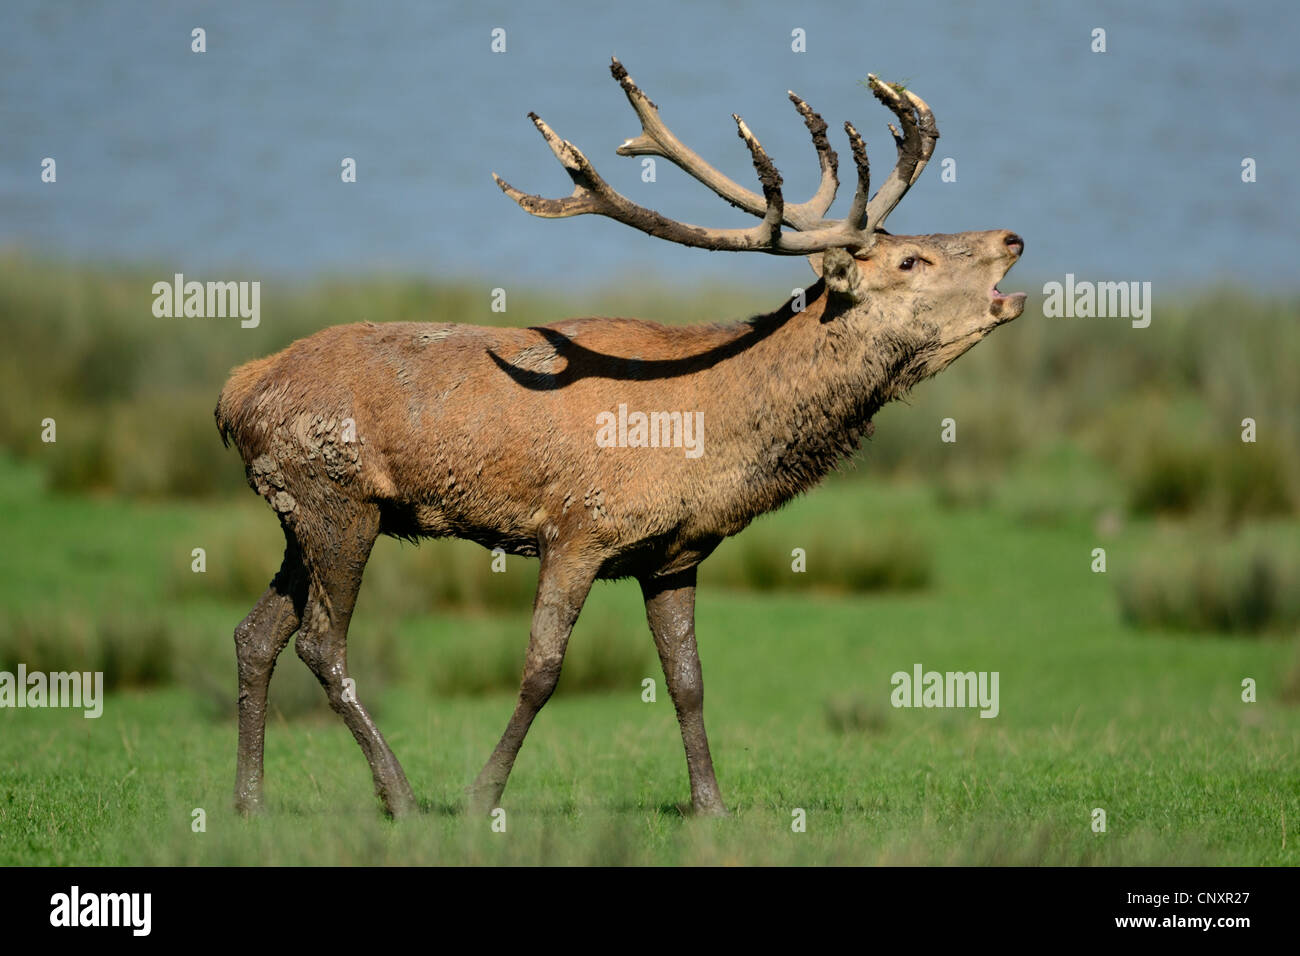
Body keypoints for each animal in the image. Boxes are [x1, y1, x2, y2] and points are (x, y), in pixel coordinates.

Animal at [215, 58, 1026, 819]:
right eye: (910, 259)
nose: (1011, 237)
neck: (708, 433)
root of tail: (233, 394)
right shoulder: (578, 528)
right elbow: (542, 671)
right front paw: (482, 797)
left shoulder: (673, 554)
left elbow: (688, 682)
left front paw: (711, 806)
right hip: (337, 500)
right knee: (321, 643)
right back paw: (401, 796)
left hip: (305, 516)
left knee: (256, 633)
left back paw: (250, 800)